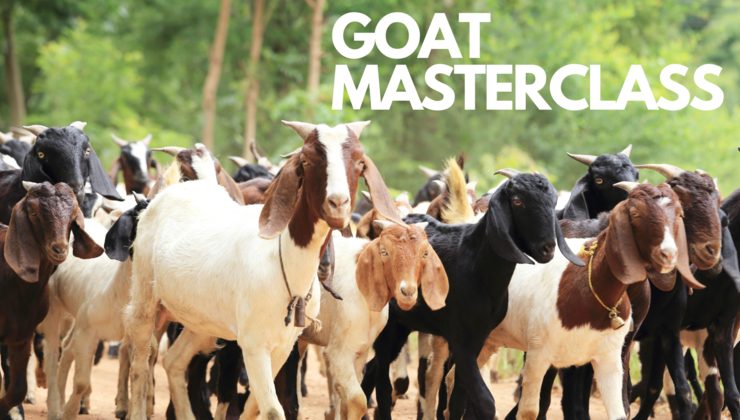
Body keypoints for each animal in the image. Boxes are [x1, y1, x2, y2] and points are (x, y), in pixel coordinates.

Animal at [123, 121, 402, 420]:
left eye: (359, 162)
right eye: (307, 160)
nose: (338, 204)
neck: (285, 265)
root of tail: (169, 192)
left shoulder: (284, 346)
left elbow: (255, 405)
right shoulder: (254, 345)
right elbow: (271, 410)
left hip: (202, 321)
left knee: (174, 361)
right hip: (144, 300)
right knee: (140, 364)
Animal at [363, 169, 585, 420]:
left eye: (553, 202)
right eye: (518, 200)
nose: (548, 248)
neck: (477, 266)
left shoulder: (478, 338)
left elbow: (458, 399)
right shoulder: (460, 341)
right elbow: (485, 401)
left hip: (404, 324)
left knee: (372, 369)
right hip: (388, 324)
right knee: (382, 382)